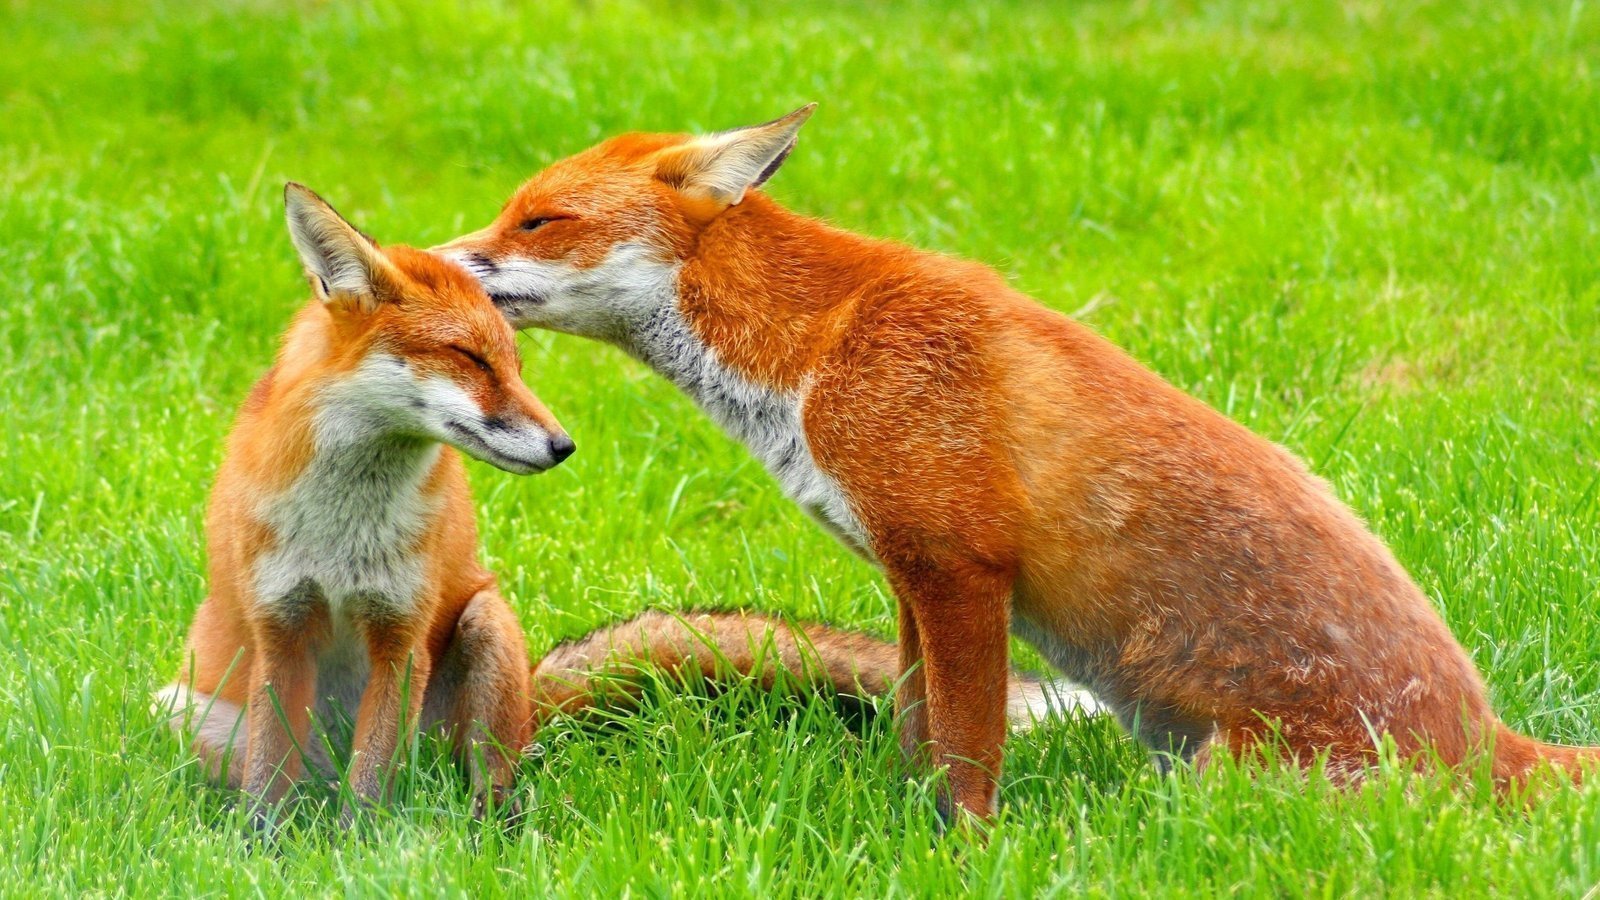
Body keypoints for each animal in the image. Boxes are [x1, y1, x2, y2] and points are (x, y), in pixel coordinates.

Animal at [436, 104, 1600, 820]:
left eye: (538, 218)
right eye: (509, 211)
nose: (425, 263)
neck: (813, 353)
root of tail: (1492, 744)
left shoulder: (963, 569)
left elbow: (970, 754)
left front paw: (966, 850)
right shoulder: (909, 575)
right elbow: (916, 733)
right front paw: (901, 828)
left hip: (1222, 781)